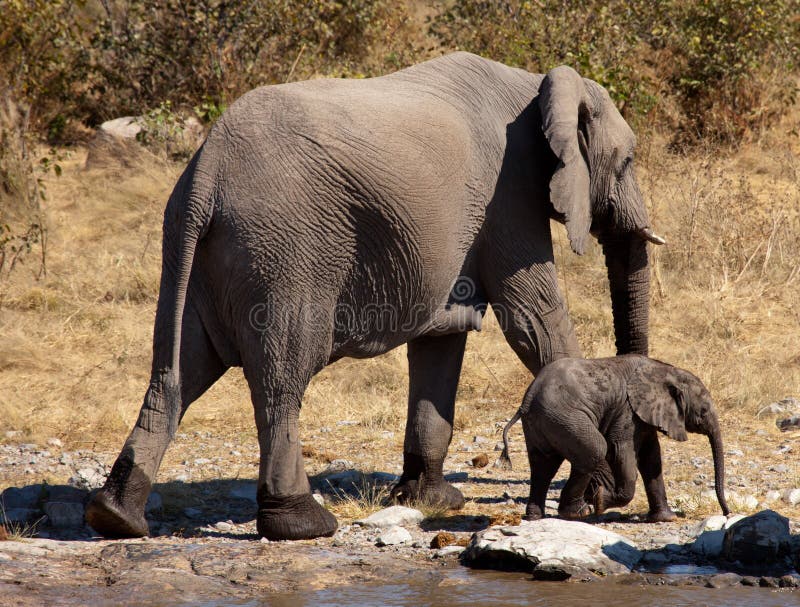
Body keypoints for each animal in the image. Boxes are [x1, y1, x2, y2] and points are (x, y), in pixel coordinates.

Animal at [85, 51, 667, 541]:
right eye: (627, 162)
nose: (629, 501)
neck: (538, 85)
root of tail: (206, 172)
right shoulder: (510, 197)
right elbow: (532, 318)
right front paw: (593, 500)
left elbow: (444, 338)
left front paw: (431, 500)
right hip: (284, 252)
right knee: (281, 381)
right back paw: (302, 524)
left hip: (192, 252)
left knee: (177, 372)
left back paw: (116, 516)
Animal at [498, 355, 730, 521]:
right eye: (704, 411)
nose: (727, 514)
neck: (666, 370)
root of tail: (528, 398)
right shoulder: (626, 410)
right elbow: (622, 450)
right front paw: (601, 502)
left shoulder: (643, 415)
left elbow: (651, 459)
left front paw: (666, 519)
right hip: (562, 416)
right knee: (595, 450)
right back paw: (578, 512)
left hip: (542, 422)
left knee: (543, 466)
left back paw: (535, 517)